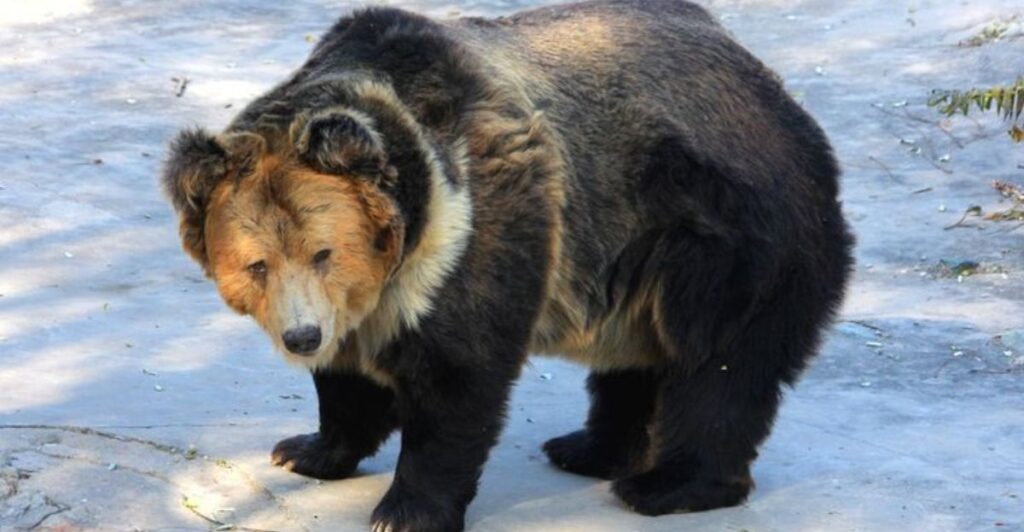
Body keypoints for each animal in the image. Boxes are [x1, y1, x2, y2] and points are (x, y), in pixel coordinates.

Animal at [161, 1, 854, 531]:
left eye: (323, 252)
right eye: (257, 265)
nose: (301, 336)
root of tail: (777, 95)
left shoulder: (473, 231)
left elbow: (458, 378)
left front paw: (405, 510)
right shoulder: (362, 300)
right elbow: (348, 381)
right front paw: (305, 450)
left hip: (723, 230)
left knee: (719, 365)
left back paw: (666, 483)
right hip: (631, 251)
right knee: (635, 359)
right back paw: (589, 448)